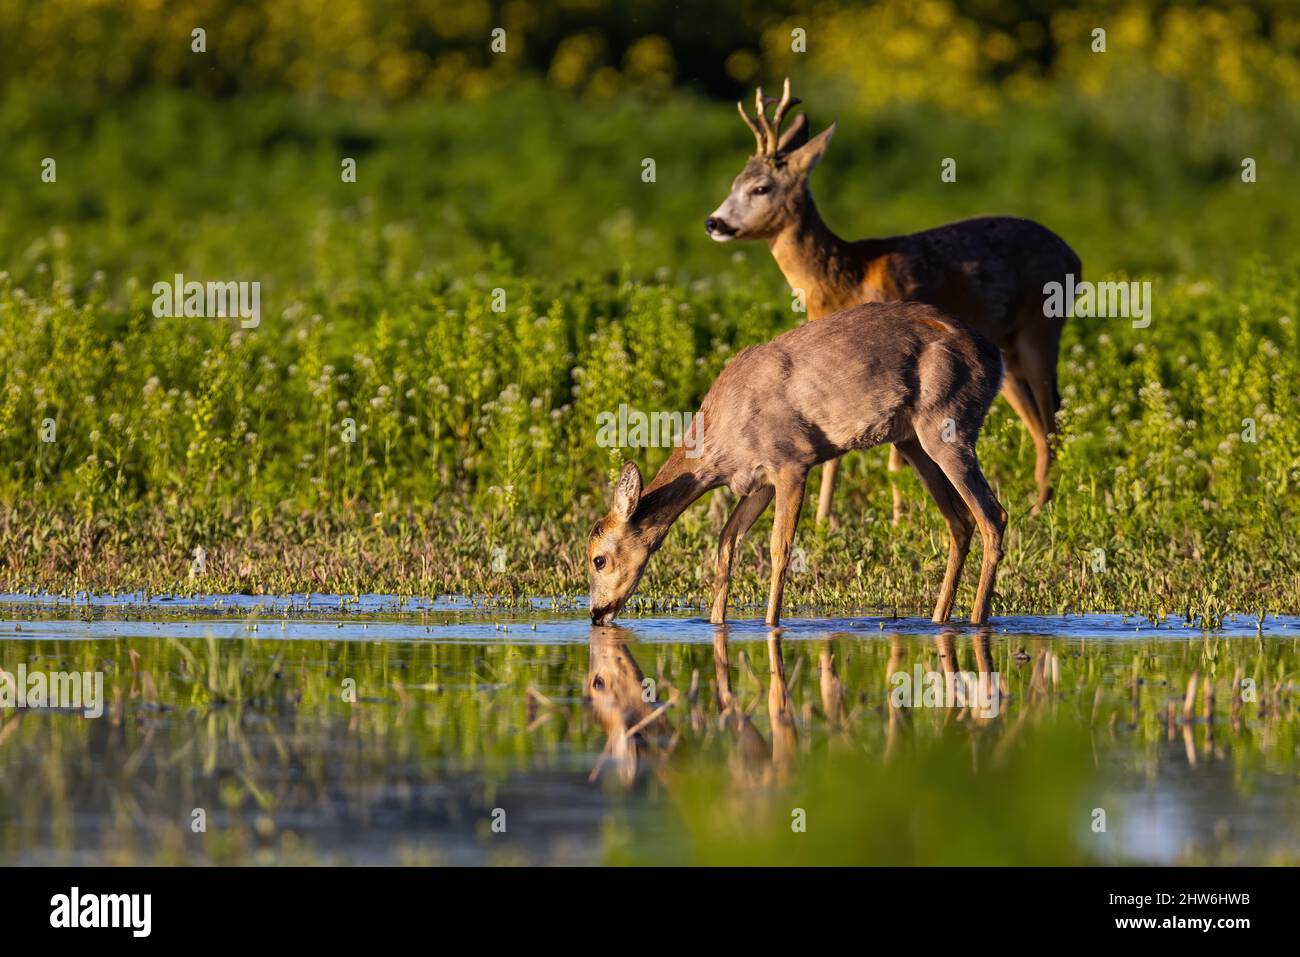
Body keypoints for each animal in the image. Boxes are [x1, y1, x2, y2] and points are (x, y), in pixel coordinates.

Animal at [587, 300, 1008, 628]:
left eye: (598, 560)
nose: (595, 613)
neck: (721, 438)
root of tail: (996, 358)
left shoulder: (792, 461)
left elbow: (780, 547)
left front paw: (771, 624)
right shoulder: (757, 482)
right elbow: (727, 541)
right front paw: (716, 622)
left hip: (947, 426)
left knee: (994, 515)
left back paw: (976, 621)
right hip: (911, 440)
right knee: (961, 521)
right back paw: (939, 620)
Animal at [705, 78, 1082, 525]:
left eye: (760, 187)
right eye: (733, 183)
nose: (714, 223)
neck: (844, 277)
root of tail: (1073, 255)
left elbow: (893, 458)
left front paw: (899, 517)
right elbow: (836, 452)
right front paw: (824, 520)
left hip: (1041, 329)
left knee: (1052, 418)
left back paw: (1042, 506)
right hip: (1008, 354)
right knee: (1039, 423)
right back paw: (1039, 504)